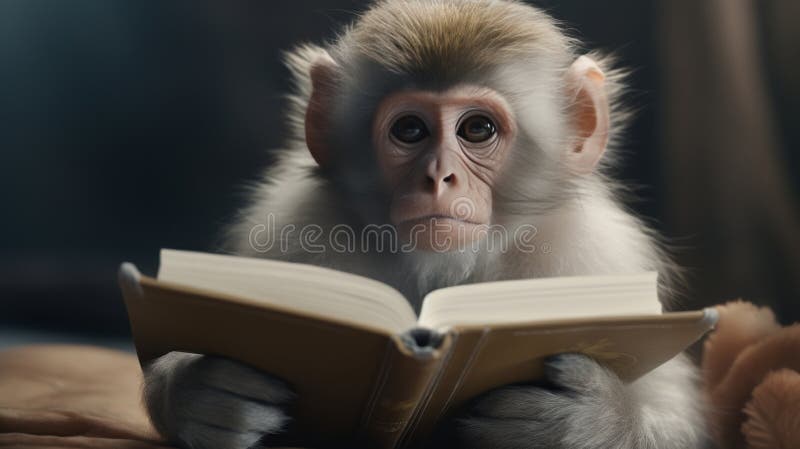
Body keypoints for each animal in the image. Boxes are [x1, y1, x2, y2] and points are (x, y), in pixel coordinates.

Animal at [143, 1, 708, 448]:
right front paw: (196, 391)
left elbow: (681, 412)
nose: (440, 177)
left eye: (476, 128)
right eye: (410, 130)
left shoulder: (597, 257)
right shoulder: (292, 227)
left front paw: (589, 422)